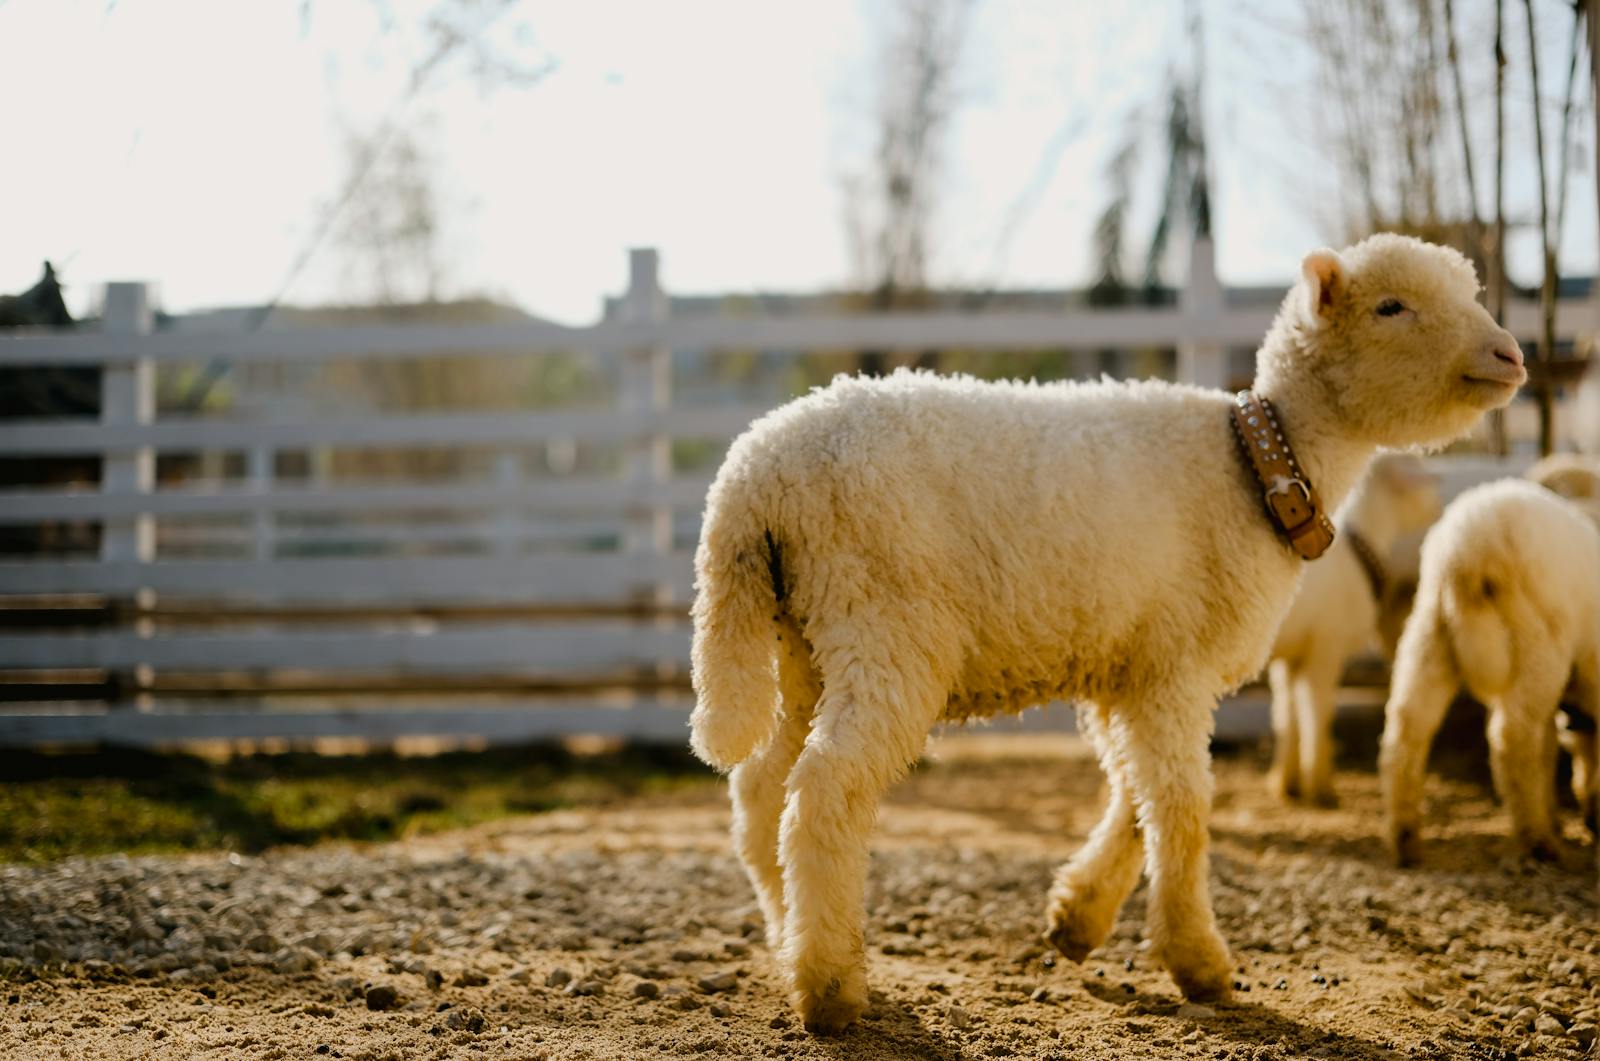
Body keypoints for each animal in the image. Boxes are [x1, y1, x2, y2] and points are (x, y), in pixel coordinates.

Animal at [1266, 453, 1442, 807]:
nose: (1438, 506)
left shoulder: (1291, 656)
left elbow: (1287, 717)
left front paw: (1287, 784)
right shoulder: (1325, 647)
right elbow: (1318, 714)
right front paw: (1321, 788)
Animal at [1379, 478, 1600, 865]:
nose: (1591, 823)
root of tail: (1471, 548)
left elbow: (1548, 750)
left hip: (1428, 635)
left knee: (1406, 729)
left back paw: (1405, 838)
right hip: (1538, 644)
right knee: (1512, 738)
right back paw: (1537, 841)